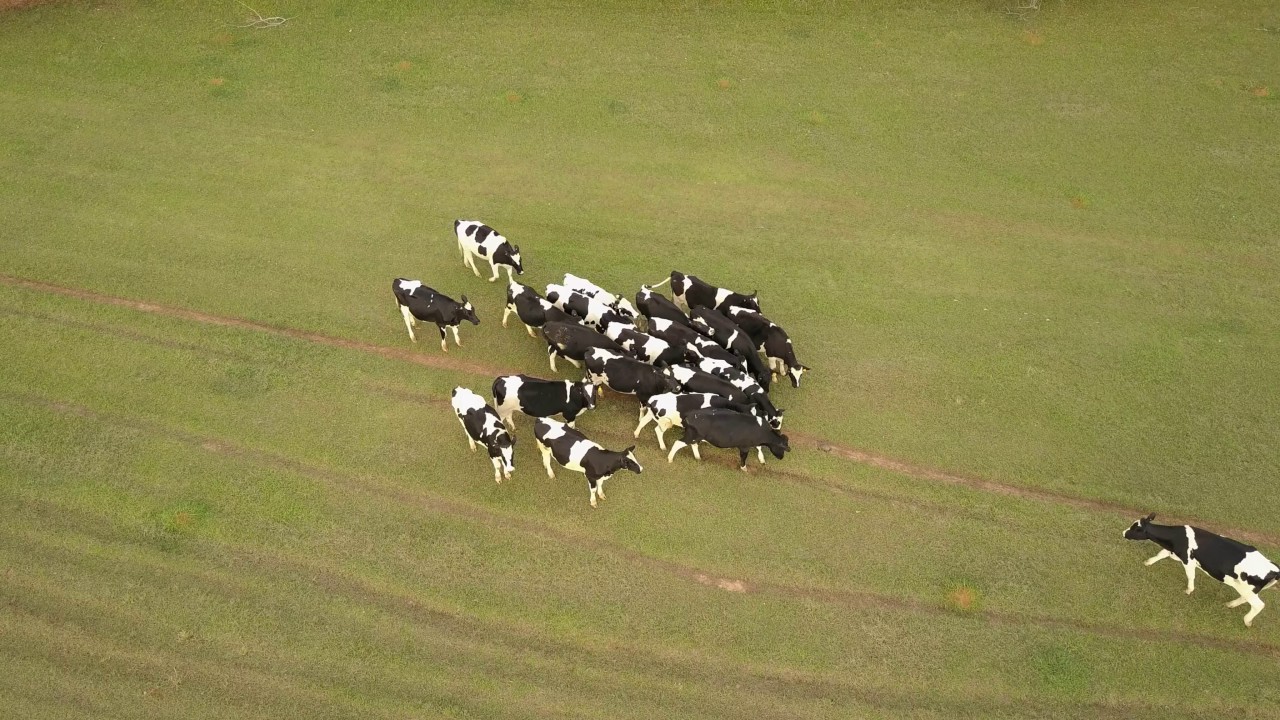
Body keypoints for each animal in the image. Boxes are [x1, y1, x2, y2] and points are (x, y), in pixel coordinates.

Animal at [1123, 514, 1280, 626]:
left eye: (1136, 529)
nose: (1124, 533)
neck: (1178, 537)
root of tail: (1274, 568)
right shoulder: (1174, 551)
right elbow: (1160, 554)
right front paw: (1148, 563)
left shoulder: (1188, 560)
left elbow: (1190, 576)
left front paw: (1189, 590)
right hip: (1247, 589)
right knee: (1246, 599)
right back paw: (1230, 605)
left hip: (1247, 588)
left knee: (1259, 605)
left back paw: (1247, 621)